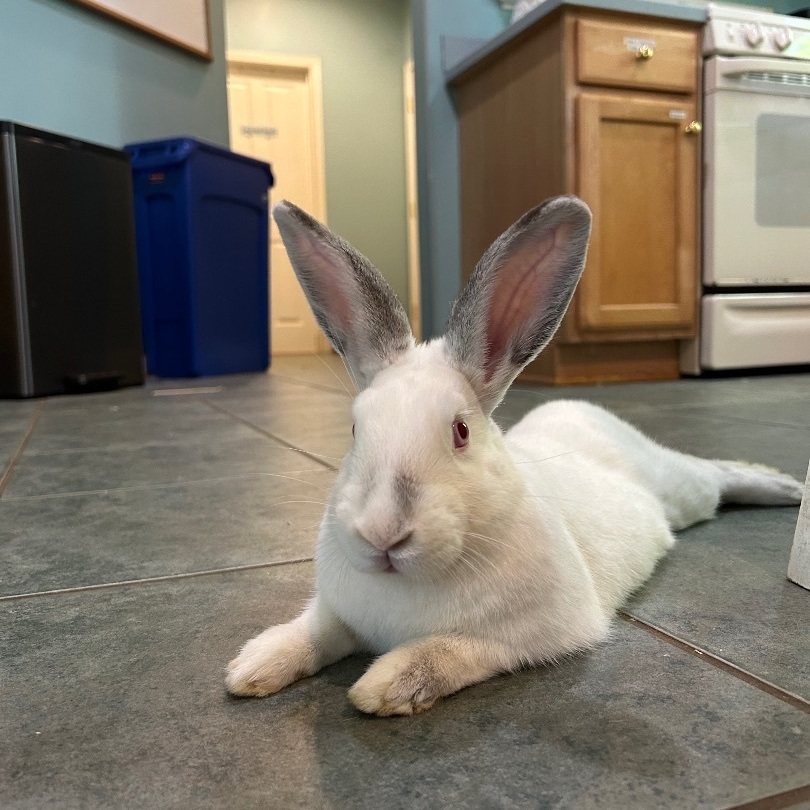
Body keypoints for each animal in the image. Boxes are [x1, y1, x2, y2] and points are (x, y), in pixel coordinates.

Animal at [226, 196, 803, 716]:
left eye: (460, 431)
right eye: (353, 430)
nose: (383, 533)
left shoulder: (535, 633)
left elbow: (451, 651)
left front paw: (384, 688)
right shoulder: (336, 610)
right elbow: (316, 630)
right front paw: (250, 667)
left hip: (681, 490)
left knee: (717, 474)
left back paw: (785, 486)